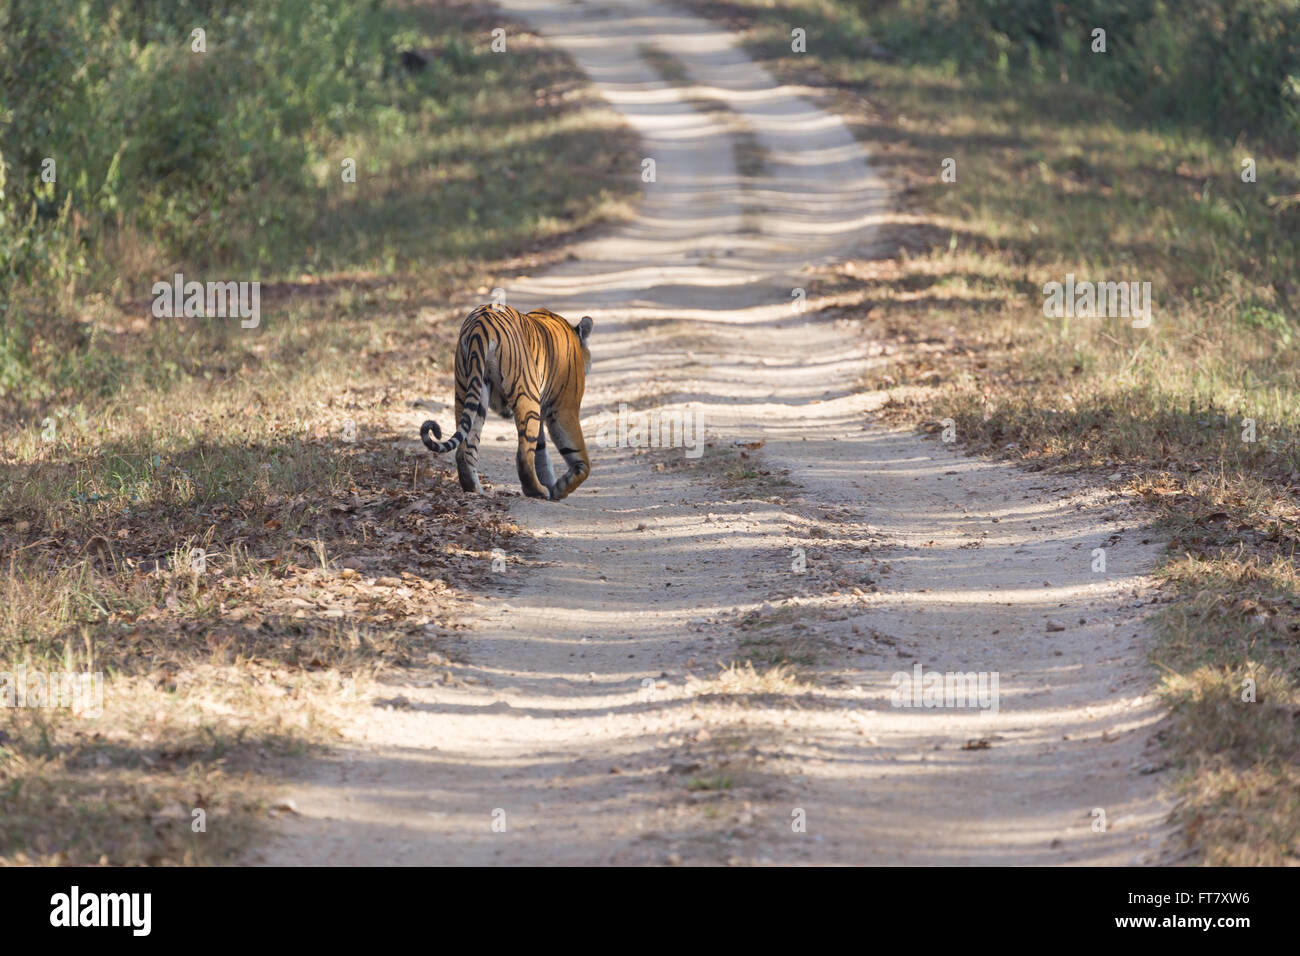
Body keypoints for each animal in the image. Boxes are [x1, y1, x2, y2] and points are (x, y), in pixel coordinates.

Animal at [420, 304, 593, 500]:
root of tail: (479, 325)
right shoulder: (564, 409)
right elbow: (579, 456)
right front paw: (559, 488)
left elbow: (541, 450)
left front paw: (552, 485)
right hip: (527, 396)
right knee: (524, 454)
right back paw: (537, 491)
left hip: (470, 391)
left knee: (464, 449)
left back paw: (474, 489)